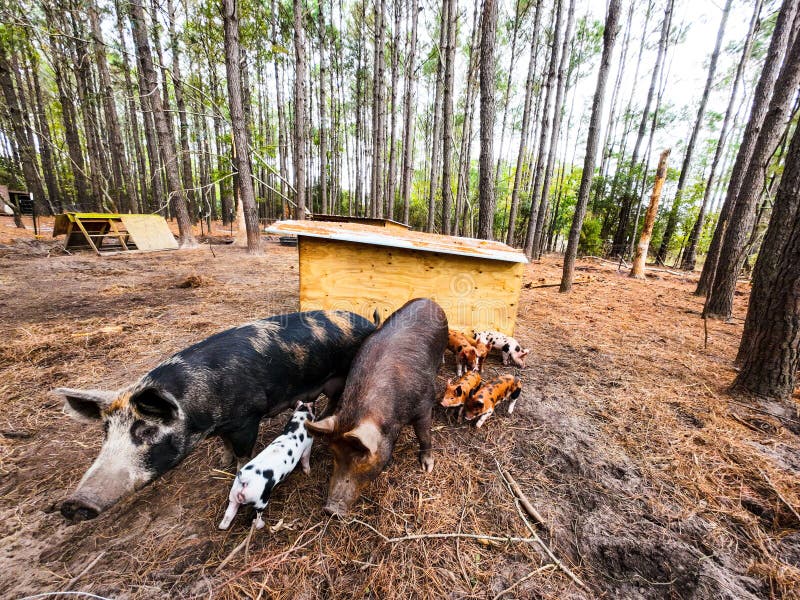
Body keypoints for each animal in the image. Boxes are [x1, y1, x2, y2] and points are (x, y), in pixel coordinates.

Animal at [219, 401, 314, 530]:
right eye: (312, 409)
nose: (311, 403)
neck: (295, 429)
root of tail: (245, 481)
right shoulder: (307, 447)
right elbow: (305, 459)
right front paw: (308, 472)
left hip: (233, 495)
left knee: (228, 516)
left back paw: (223, 526)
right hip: (260, 500)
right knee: (257, 517)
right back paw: (261, 525)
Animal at [306, 298, 448, 515]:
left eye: (362, 457)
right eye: (334, 454)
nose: (331, 509)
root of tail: (429, 300)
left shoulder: (424, 405)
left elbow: (424, 434)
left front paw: (427, 467)